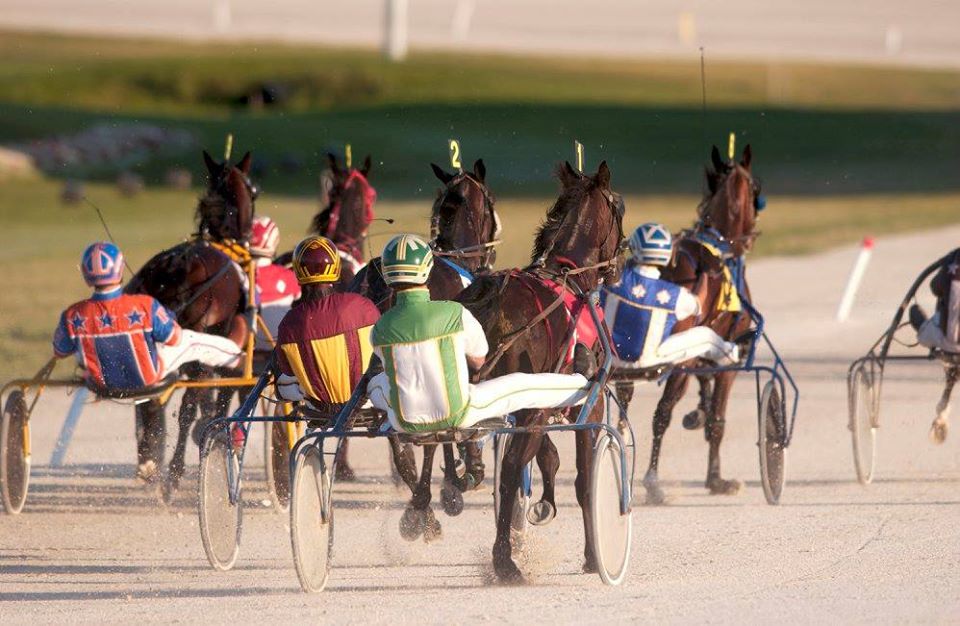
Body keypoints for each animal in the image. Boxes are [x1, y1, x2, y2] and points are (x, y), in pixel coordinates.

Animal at [125, 149, 257, 498]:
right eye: (253, 191)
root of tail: (175, 266)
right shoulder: (225, 353)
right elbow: (215, 404)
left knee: (153, 401)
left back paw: (150, 462)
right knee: (187, 408)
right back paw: (172, 472)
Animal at [457, 160, 625, 583]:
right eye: (619, 209)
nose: (618, 265)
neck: (569, 277)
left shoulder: (537, 404)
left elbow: (547, 455)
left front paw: (542, 504)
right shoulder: (589, 402)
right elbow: (584, 480)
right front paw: (592, 555)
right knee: (511, 469)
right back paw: (504, 560)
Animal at [636, 144, 761, 505]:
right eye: (756, 191)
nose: (750, 237)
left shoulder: (707, 348)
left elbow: (705, 393)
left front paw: (697, 414)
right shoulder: (728, 361)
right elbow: (718, 420)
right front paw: (716, 479)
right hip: (677, 360)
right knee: (661, 414)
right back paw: (653, 482)